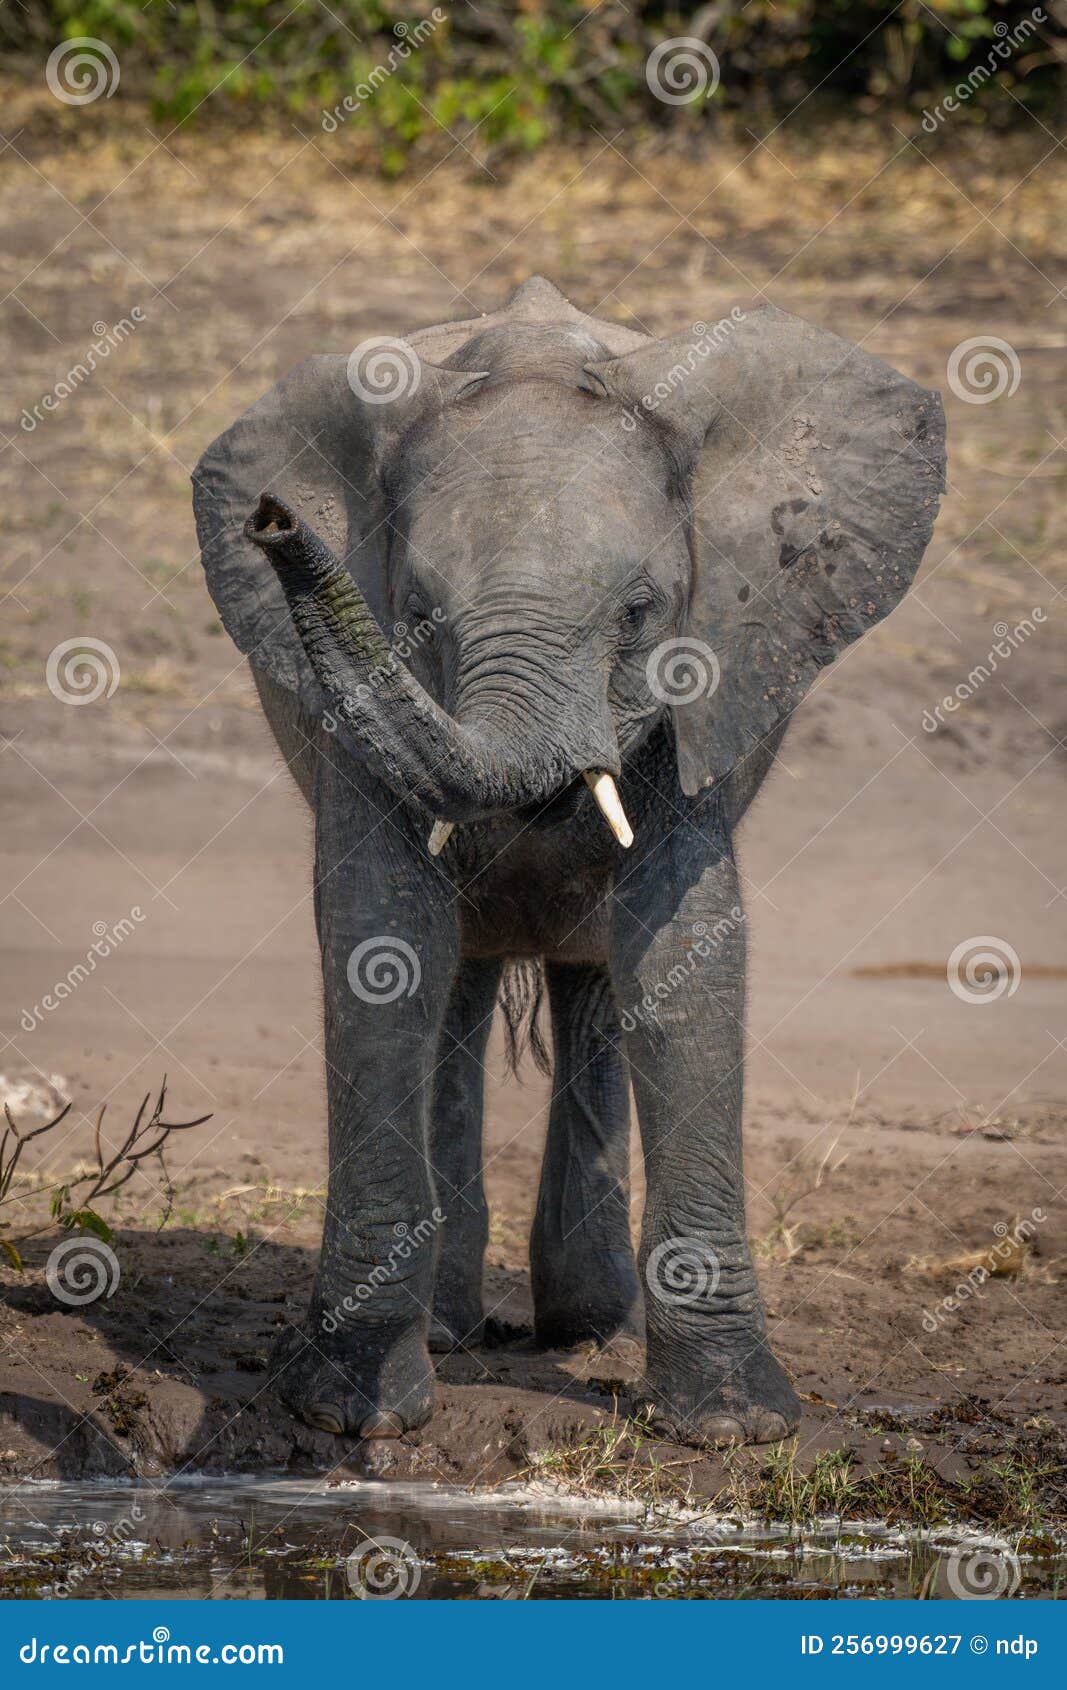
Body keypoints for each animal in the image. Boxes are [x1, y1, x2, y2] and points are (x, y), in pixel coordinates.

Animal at [193, 276, 945, 1449]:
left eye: (637, 612)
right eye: (417, 616)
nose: (274, 519)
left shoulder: (713, 665)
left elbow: (679, 943)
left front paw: (731, 1426)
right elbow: (381, 934)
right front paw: (353, 1415)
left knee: (591, 979)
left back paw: (589, 1329)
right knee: (457, 981)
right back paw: (455, 1327)